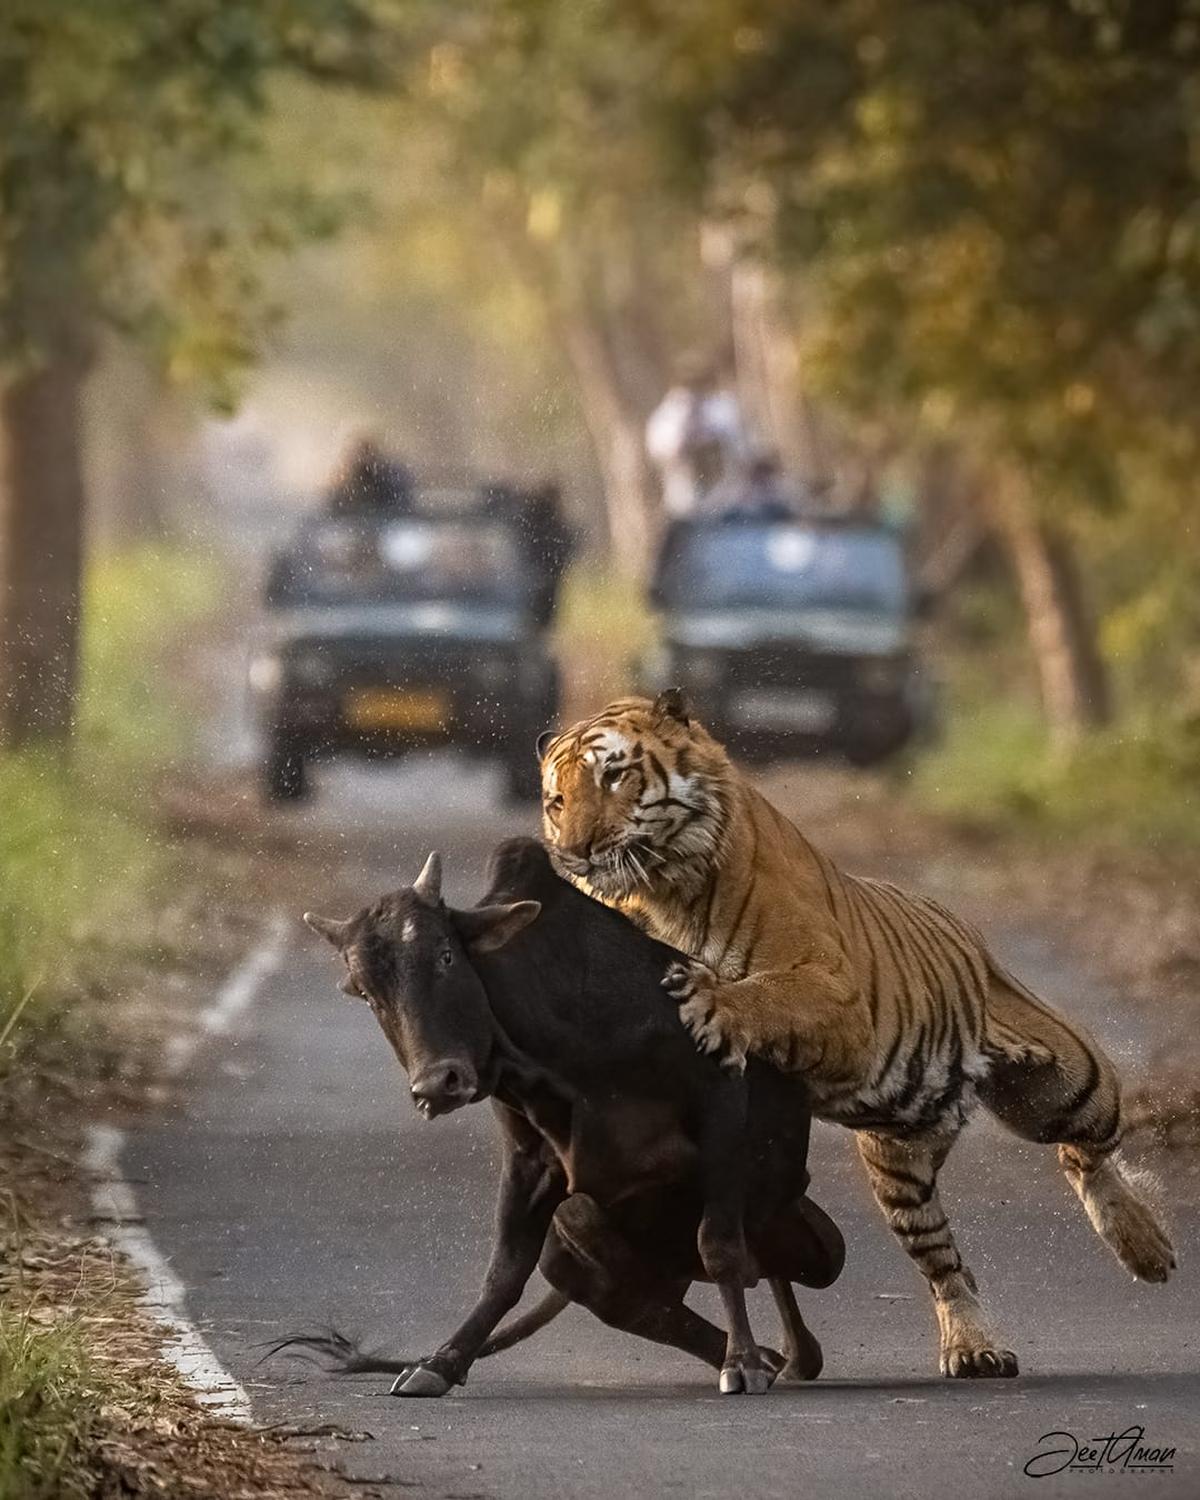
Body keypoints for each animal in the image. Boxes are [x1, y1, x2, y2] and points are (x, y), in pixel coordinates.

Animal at [538, 688, 1176, 1379]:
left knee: (1085, 1154)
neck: (656, 893)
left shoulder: (839, 1003)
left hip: (1070, 1084)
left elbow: (767, 996)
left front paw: (711, 1003)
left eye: (614, 776)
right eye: (556, 801)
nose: (574, 852)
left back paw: (1148, 1249)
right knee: (948, 1264)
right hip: (900, 1163)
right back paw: (972, 1346)